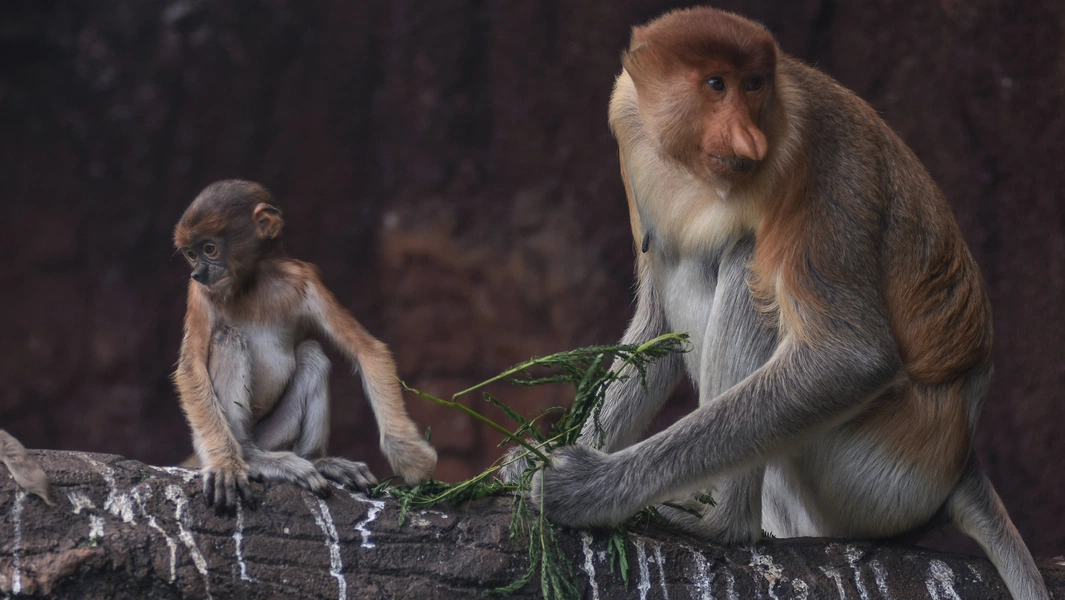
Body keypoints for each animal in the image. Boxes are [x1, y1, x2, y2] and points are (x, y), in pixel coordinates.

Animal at [173, 180, 437, 514]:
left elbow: (367, 349)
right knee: (227, 338)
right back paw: (248, 457)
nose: (198, 273)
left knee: (312, 352)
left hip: (274, 433)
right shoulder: (199, 293)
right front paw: (224, 466)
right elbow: (190, 369)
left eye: (209, 249)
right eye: (191, 255)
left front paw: (409, 456)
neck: (253, 281)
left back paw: (317, 460)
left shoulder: (307, 278)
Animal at [503, 8, 1048, 599]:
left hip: (881, 468)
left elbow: (851, 356)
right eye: (716, 84)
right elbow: (655, 325)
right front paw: (527, 464)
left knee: (748, 264)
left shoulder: (813, 158)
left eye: (755, 85)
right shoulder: (630, 127)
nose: (749, 142)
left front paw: (584, 486)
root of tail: (961, 460)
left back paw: (724, 524)